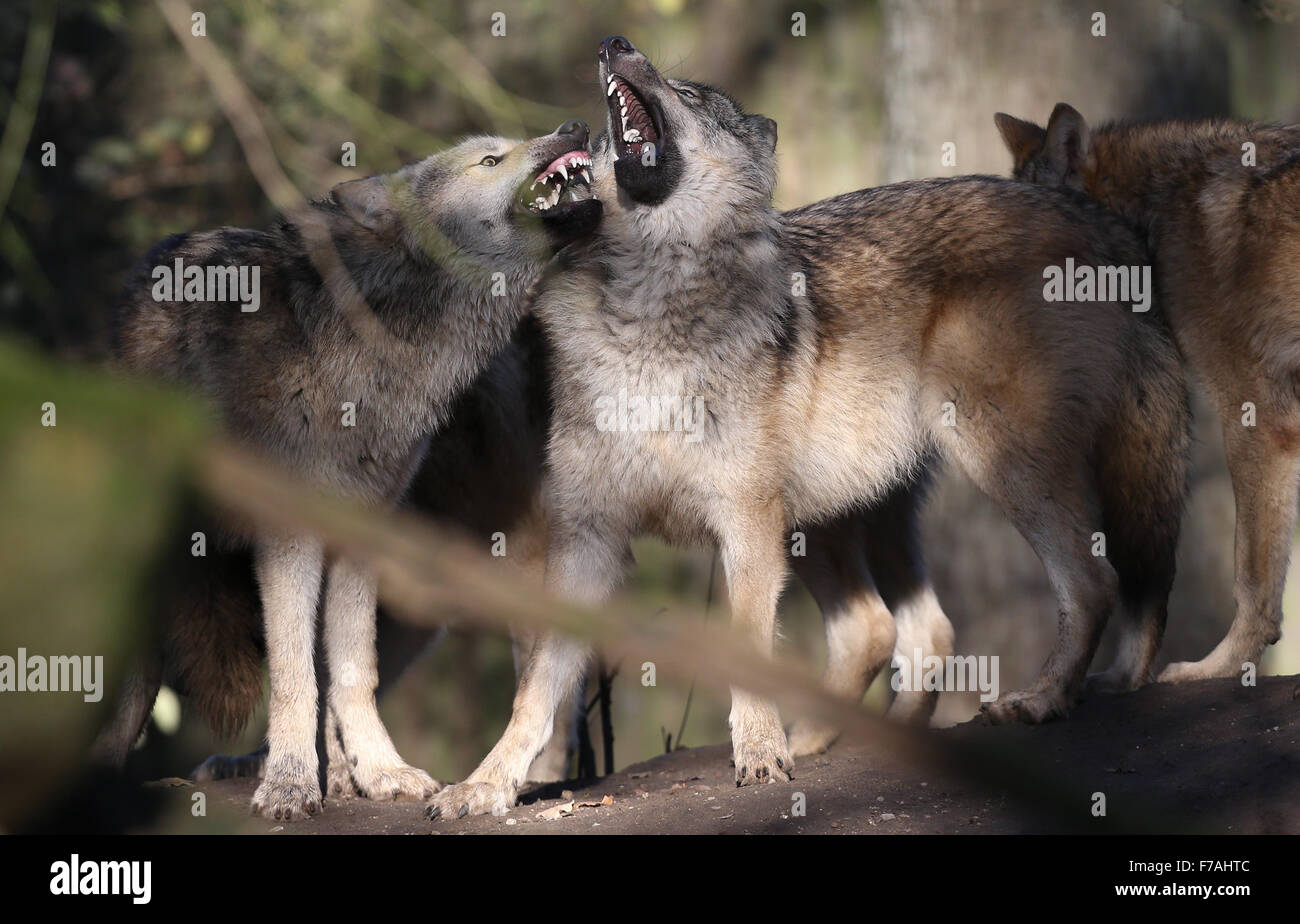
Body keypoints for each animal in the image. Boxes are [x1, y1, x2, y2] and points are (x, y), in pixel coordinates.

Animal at [111, 123, 600, 820]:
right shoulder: (289, 531)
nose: (572, 129)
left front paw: (377, 772)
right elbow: (297, 671)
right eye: (490, 158)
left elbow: (347, 673)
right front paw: (295, 783)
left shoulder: (362, 529)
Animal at [425, 37, 1189, 820]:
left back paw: (1039, 701)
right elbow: (535, 690)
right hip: (834, 515)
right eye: (609, 140)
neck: (641, 308)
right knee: (895, 631)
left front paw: (759, 755)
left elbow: (744, 648)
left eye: (691, 95)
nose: (615, 43)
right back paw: (845, 740)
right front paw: (485, 784)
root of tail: (1088, 211)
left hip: (998, 467)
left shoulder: (745, 520)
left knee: (1091, 582)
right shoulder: (589, 537)